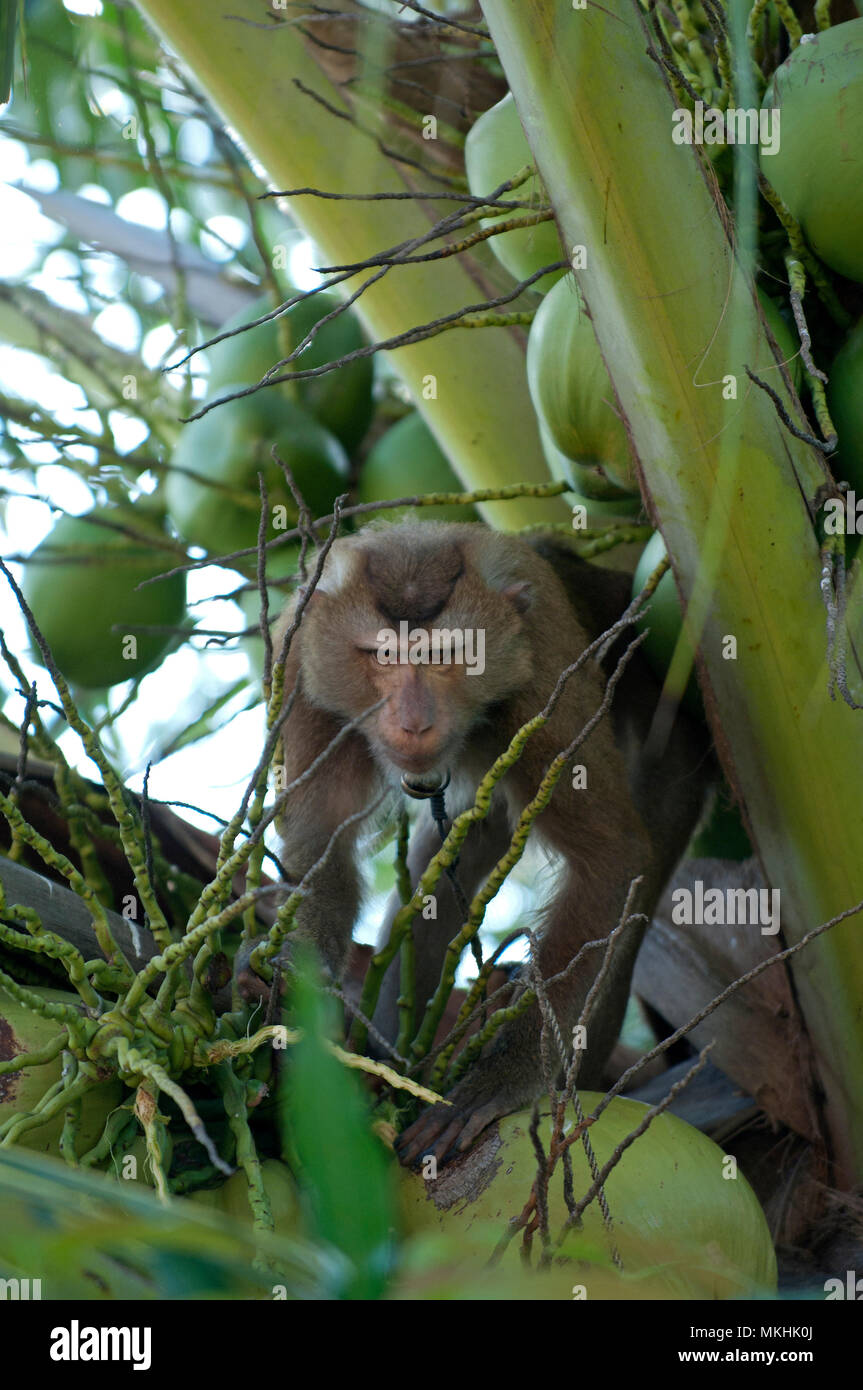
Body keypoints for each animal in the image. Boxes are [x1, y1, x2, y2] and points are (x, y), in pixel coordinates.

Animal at [235, 520, 710, 1164]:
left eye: (445, 657)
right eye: (382, 655)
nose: (413, 721)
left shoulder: (545, 678)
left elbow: (609, 857)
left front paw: (501, 1079)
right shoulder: (303, 680)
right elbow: (322, 842)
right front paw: (287, 975)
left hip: (674, 735)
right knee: (447, 857)